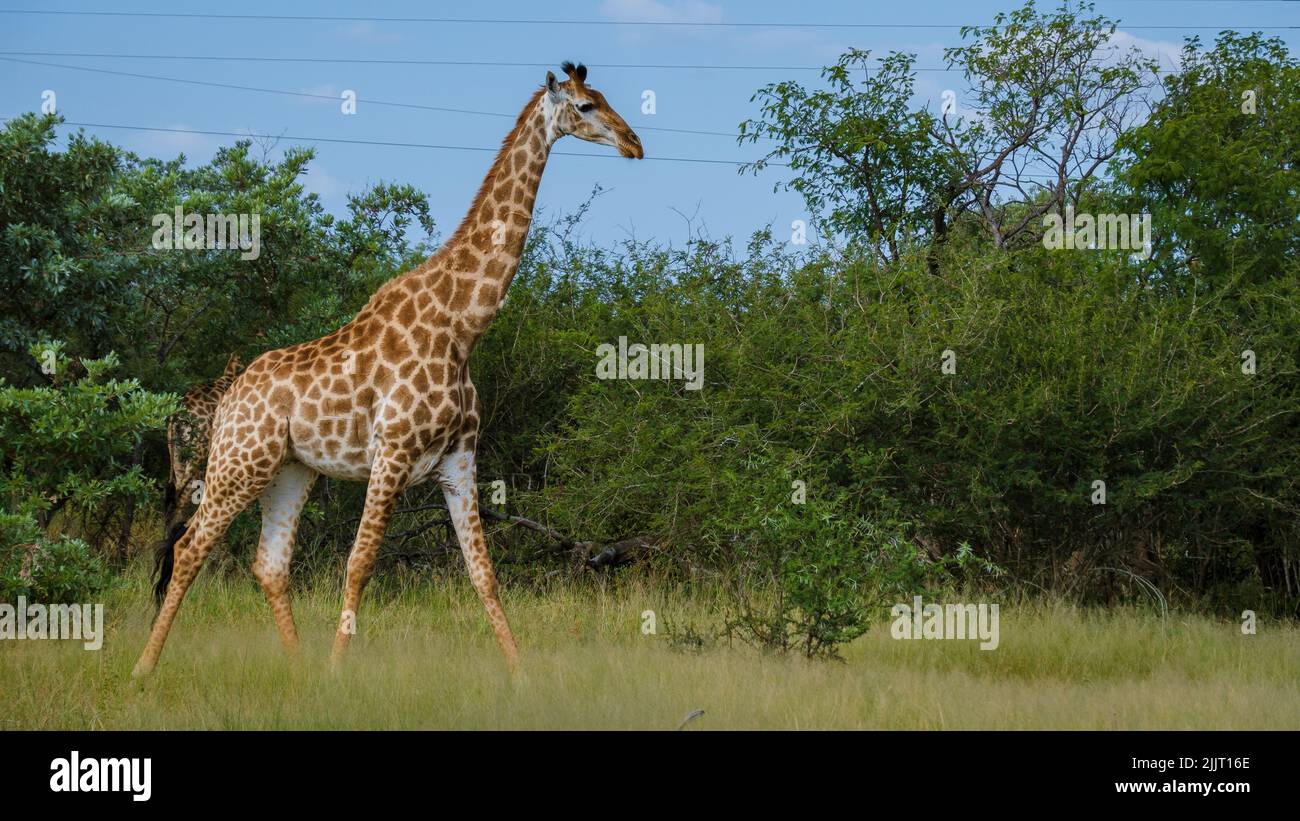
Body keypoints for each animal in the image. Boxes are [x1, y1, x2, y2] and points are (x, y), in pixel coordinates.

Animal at [134, 62, 643, 677]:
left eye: (605, 98)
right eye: (586, 106)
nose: (634, 144)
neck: (462, 326)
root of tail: (229, 398)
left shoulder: (459, 461)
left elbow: (483, 574)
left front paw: (521, 678)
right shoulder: (393, 453)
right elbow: (359, 563)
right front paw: (337, 673)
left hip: (289, 470)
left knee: (270, 564)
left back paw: (297, 673)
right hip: (238, 462)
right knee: (189, 548)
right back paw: (143, 670)